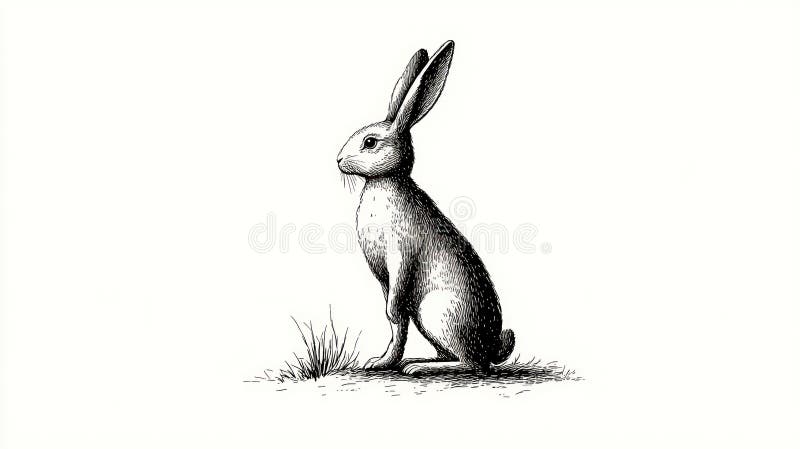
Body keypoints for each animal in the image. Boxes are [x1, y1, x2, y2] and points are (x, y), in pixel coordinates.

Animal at [336, 40, 514, 375]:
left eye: (370, 142)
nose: (338, 160)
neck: (385, 181)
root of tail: (492, 345)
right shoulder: (385, 278)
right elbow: (397, 327)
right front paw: (379, 363)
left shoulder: (401, 256)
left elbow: (394, 310)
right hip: (427, 320)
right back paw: (414, 362)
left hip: (440, 313)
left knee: (473, 364)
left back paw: (420, 369)